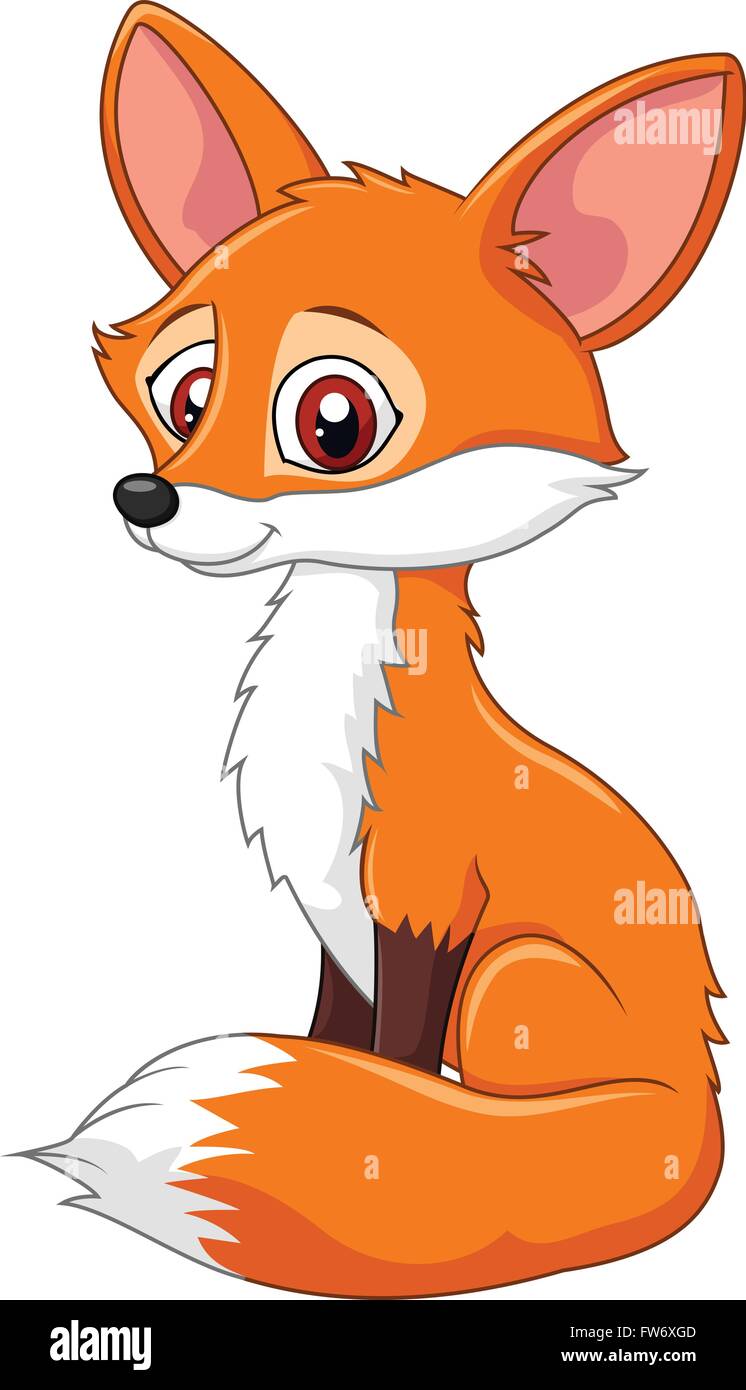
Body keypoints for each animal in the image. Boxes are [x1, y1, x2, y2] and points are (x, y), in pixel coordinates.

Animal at [25, 4, 743, 1298]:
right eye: (185, 396)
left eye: (333, 422)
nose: (143, 496)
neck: (338, 722)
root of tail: (697, 1106)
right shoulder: (330, 916)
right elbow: (330, 1039)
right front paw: (325, 1081)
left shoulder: (422, 908)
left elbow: (397, 1067)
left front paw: (382, 1120)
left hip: (517, 978)